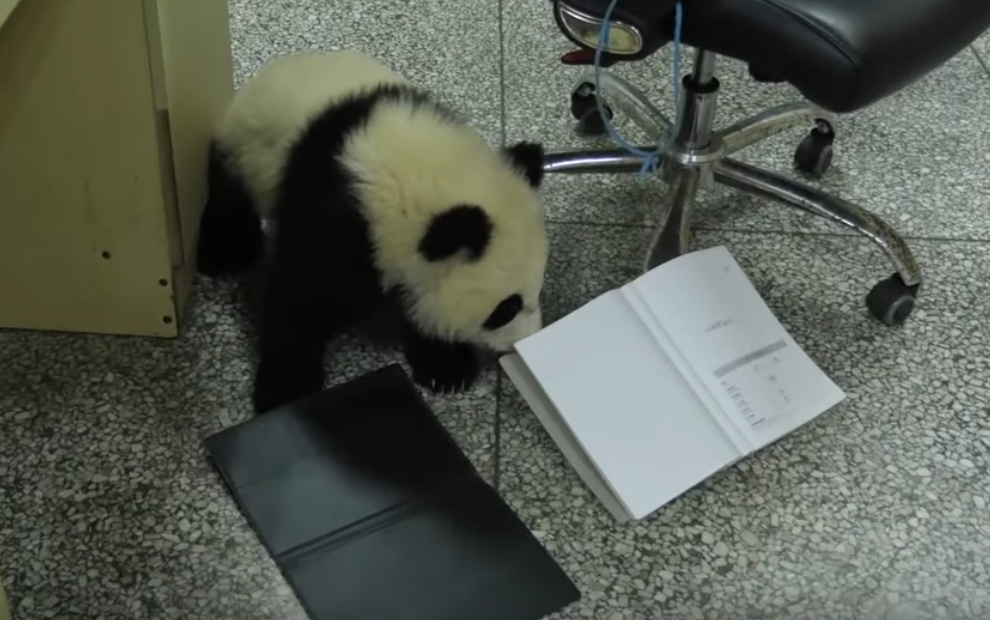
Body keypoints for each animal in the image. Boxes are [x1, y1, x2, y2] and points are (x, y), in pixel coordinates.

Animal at [195, 50, 549, 414]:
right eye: (506, 308)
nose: (525, 340)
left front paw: (446, 366)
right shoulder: (338, 218)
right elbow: (299, 296)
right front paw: (285, 390)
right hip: (244, 150)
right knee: (228, 195)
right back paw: (228, 253)